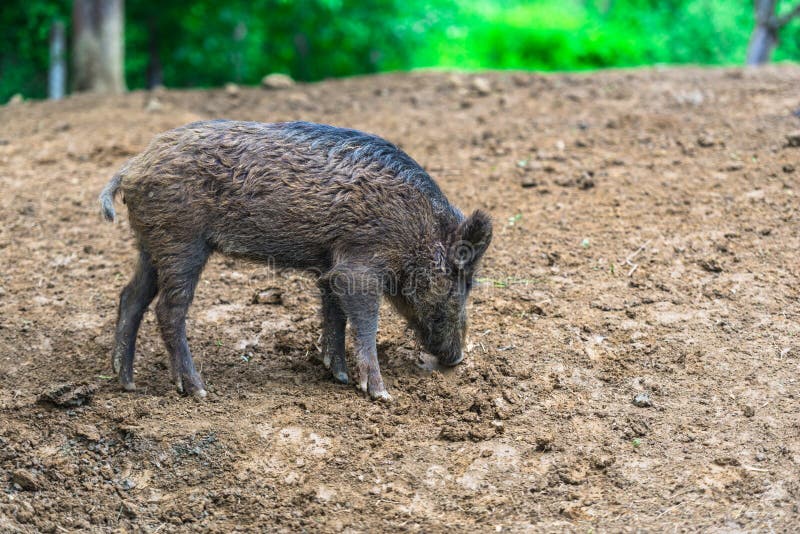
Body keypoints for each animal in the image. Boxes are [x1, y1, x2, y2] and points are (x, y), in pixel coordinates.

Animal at [99, 120, 492, 400]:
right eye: (464, 280)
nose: (457, 359)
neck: (417, 227)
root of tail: (132, 167)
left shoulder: (330, 268)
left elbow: (335, 317)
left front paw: (339, 376)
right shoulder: (358, 266)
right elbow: (365, 323)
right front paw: (381, 394)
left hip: (151, 245)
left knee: (130, 297)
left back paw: (127, 383)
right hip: (181, 242)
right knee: (168, 309)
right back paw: (197, 390)